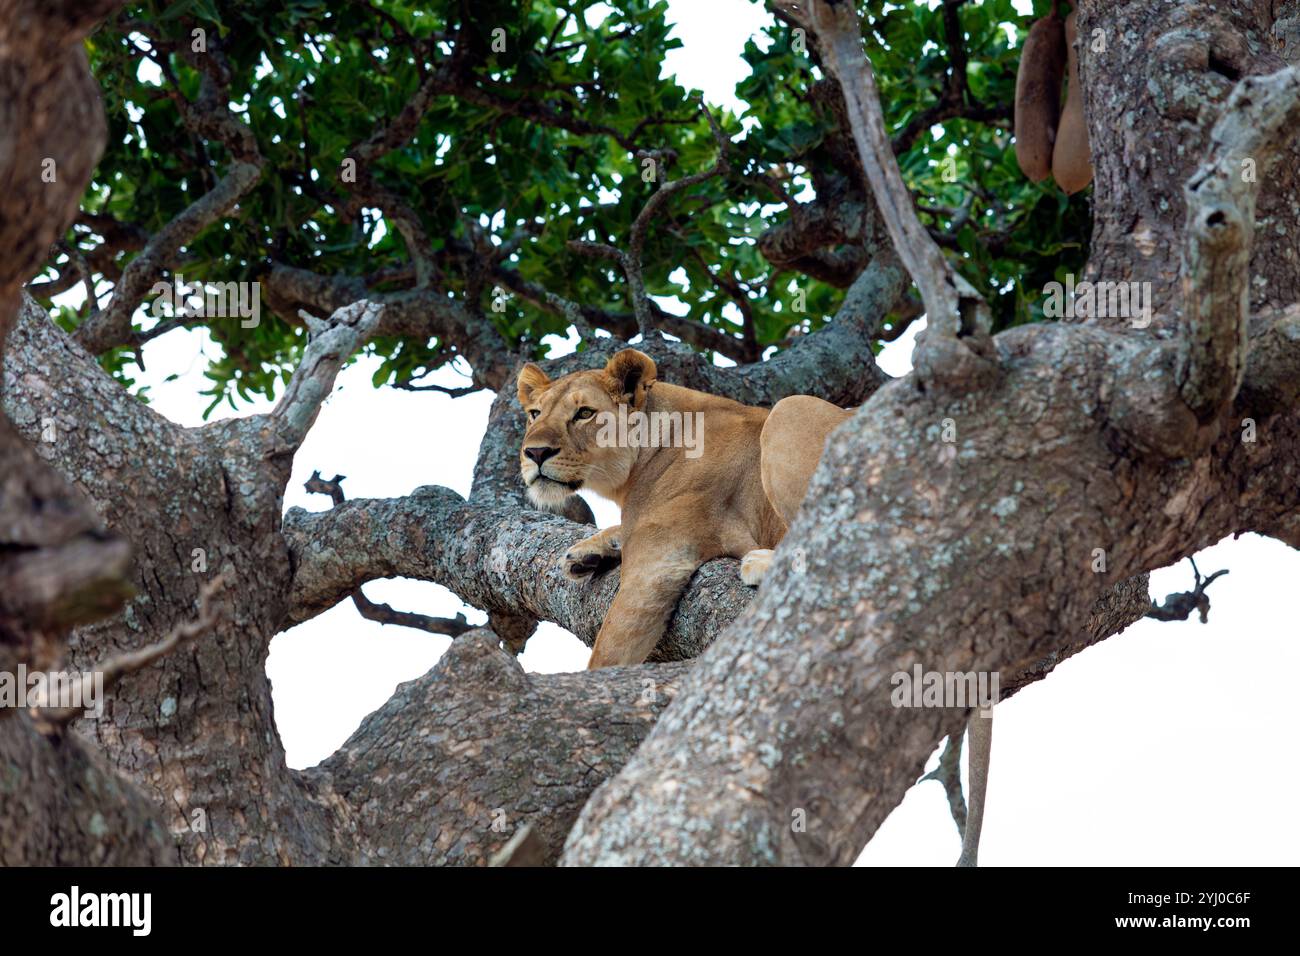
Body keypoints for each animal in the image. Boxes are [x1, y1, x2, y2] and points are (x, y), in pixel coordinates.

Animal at [517, 347, 850, 669]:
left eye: (585, 413)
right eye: (534, 414)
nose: (535, 453)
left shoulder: (658, 564)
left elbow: (608, 652)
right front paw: (587, 551)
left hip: (789, 409)